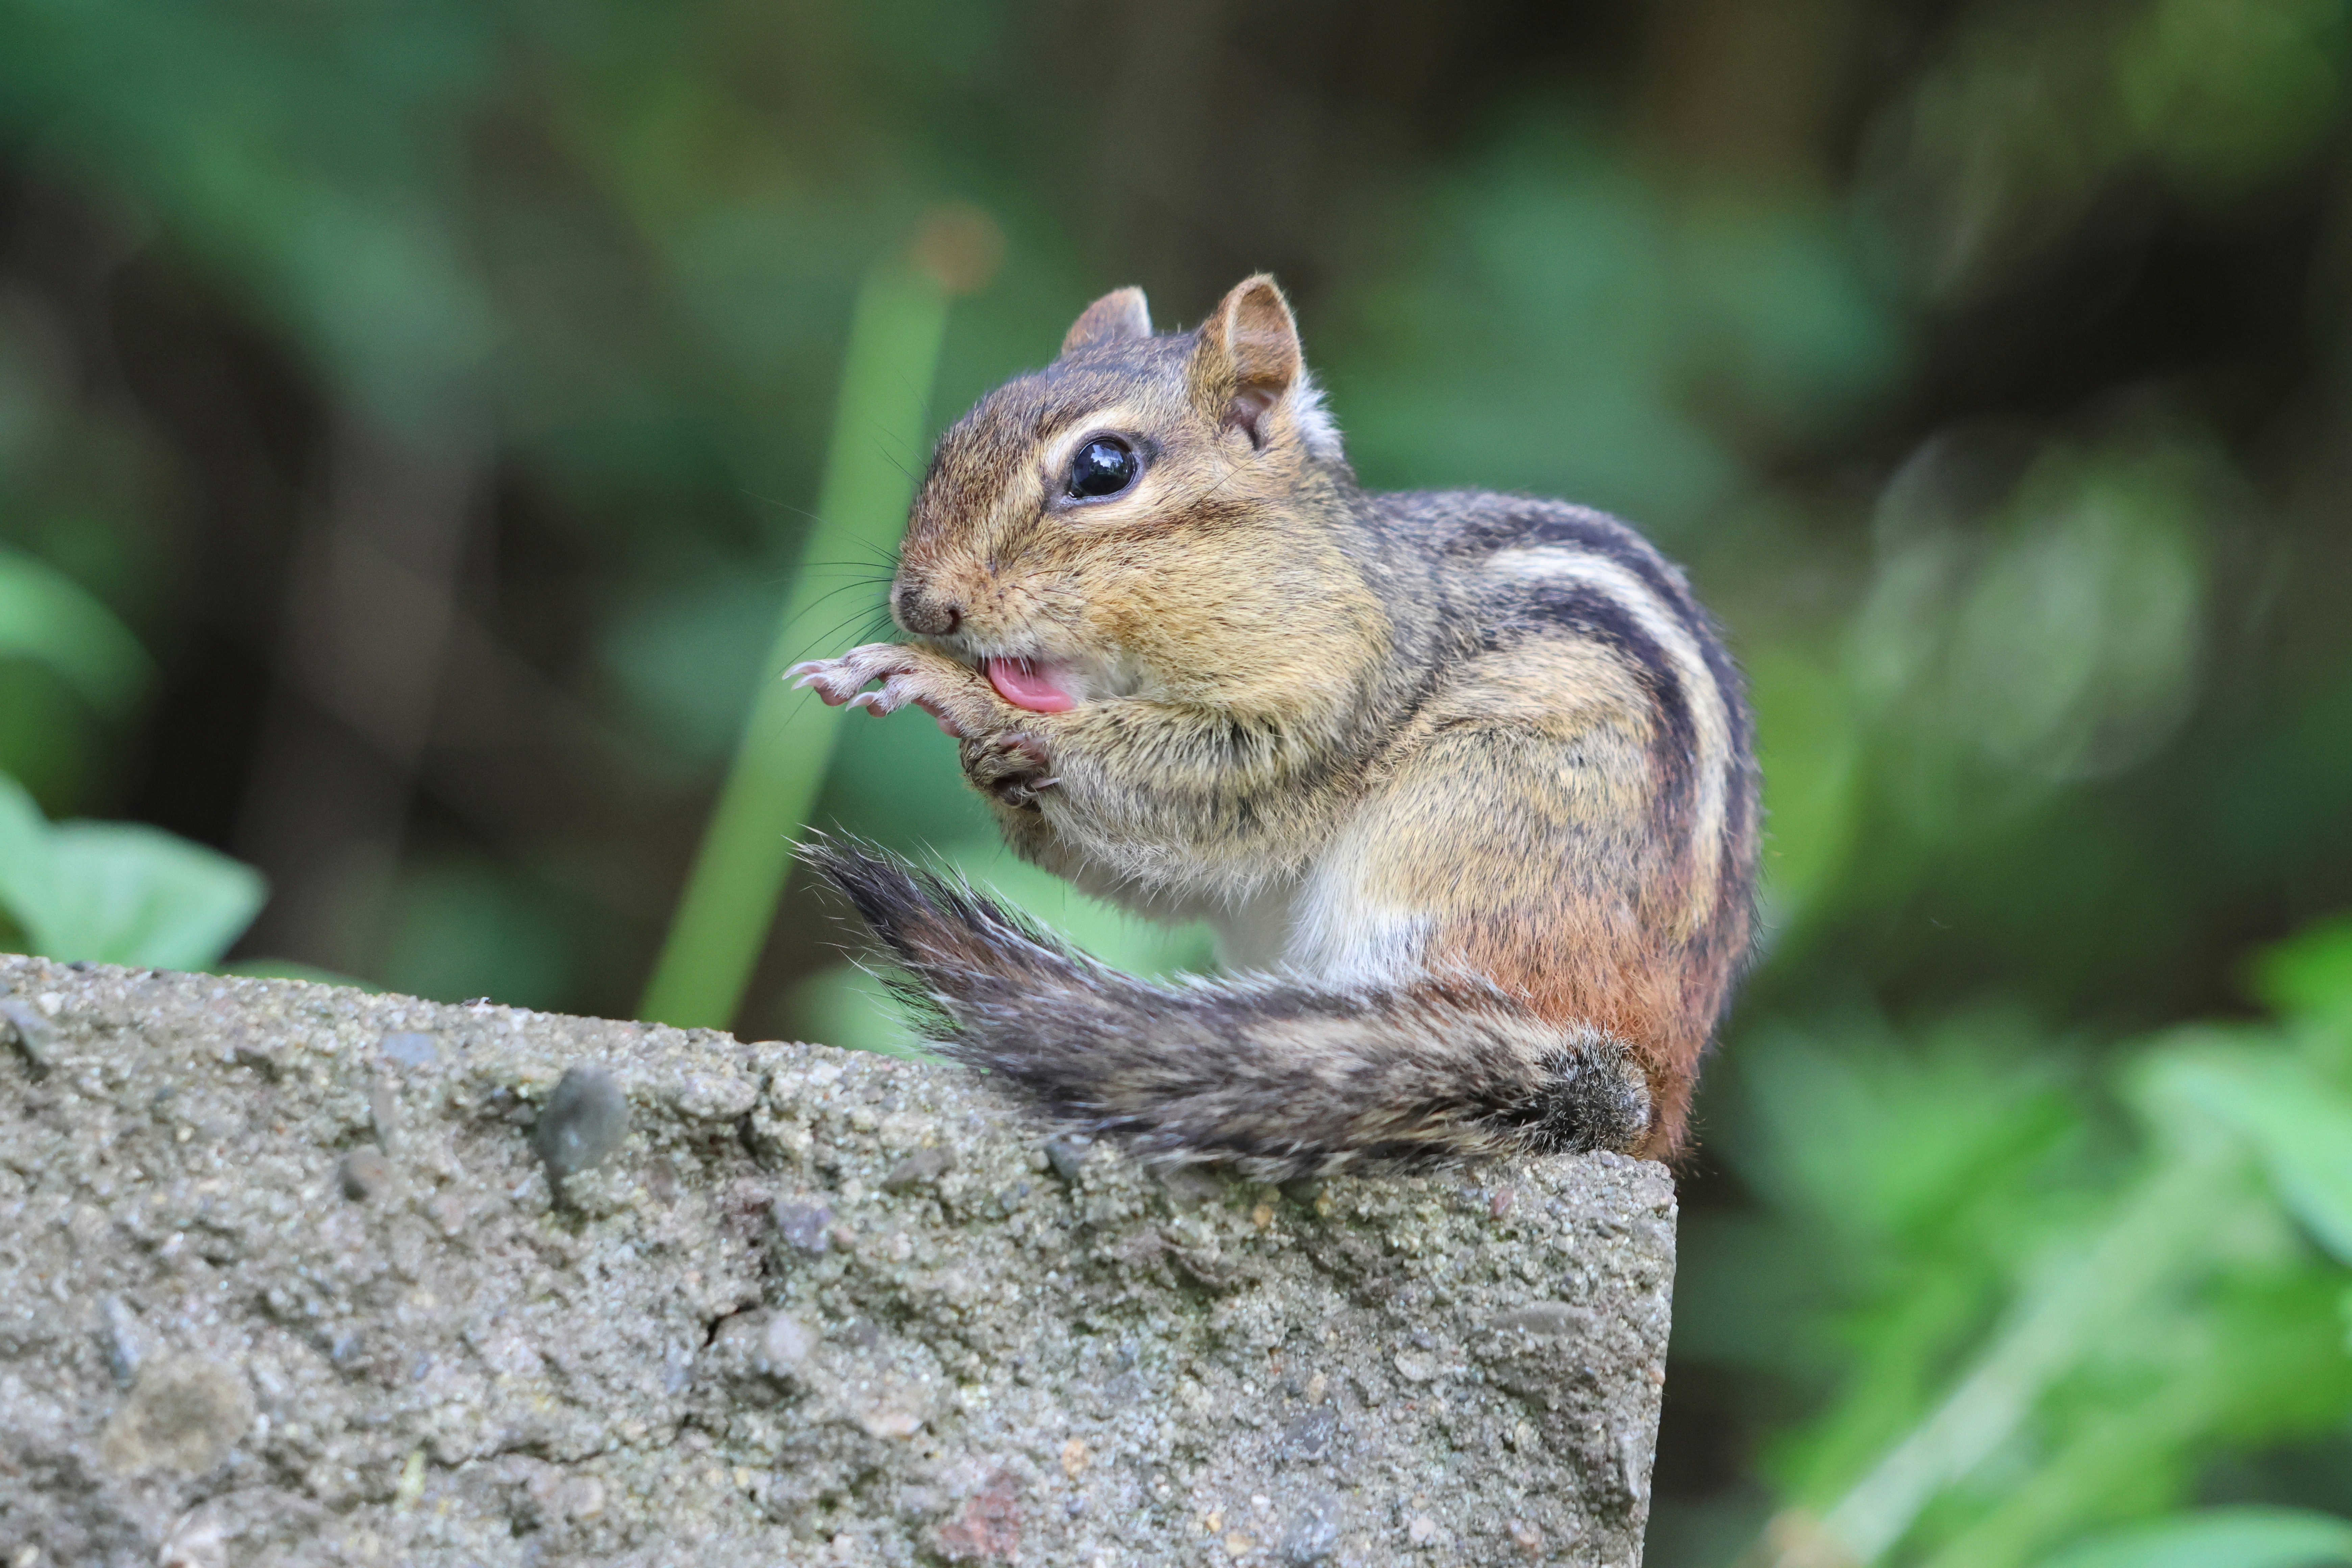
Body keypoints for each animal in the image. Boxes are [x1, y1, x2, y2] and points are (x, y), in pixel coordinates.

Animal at [790, 275, 1757, 1175]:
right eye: (957, 435)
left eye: (1103, 467)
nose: (922, 607)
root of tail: (1646, 1087)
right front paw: (983, 758)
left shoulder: (1322, 709)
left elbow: (1205, 782)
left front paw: (945, 689)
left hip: (1469, 823)